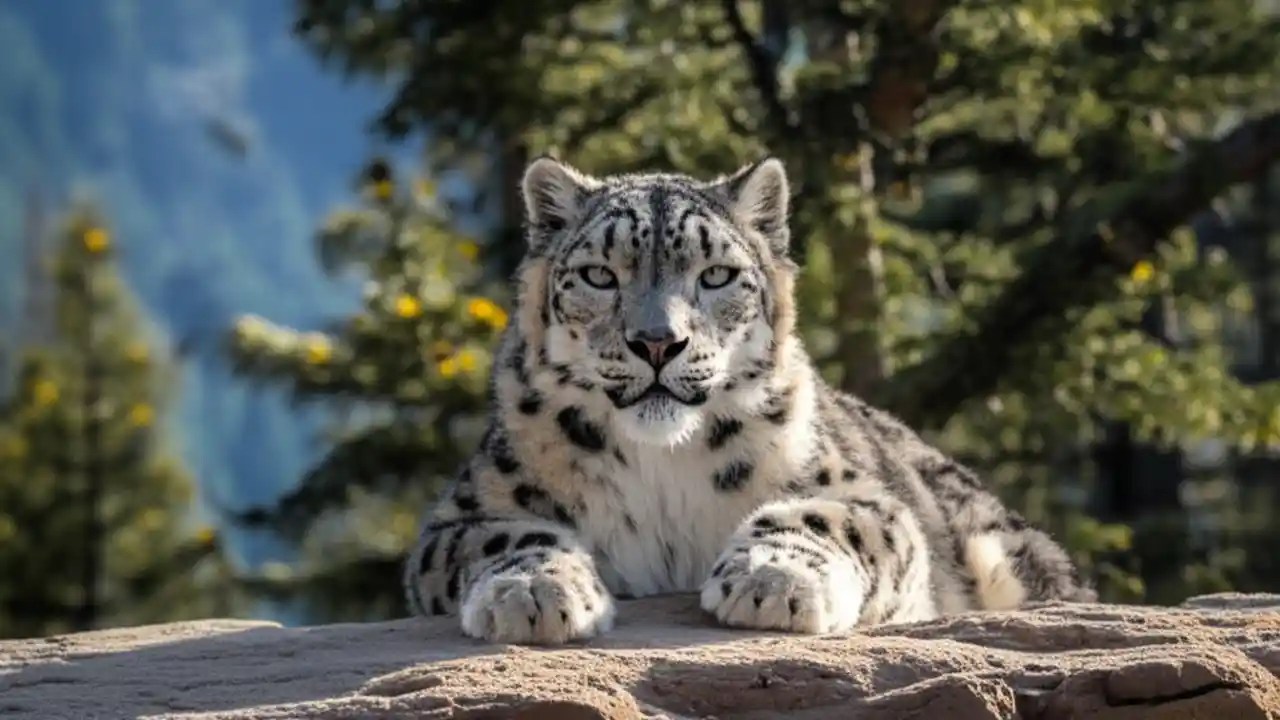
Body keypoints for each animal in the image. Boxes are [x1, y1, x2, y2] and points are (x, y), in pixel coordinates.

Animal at [402, 156, 1095, 645]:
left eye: (716, 275)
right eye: (600, 274)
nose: (658, 342)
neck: (661, 468)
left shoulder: (868, 498)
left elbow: (821, 516)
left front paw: (771, 580)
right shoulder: (461, 515)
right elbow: (504, 536)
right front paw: (534, 595)